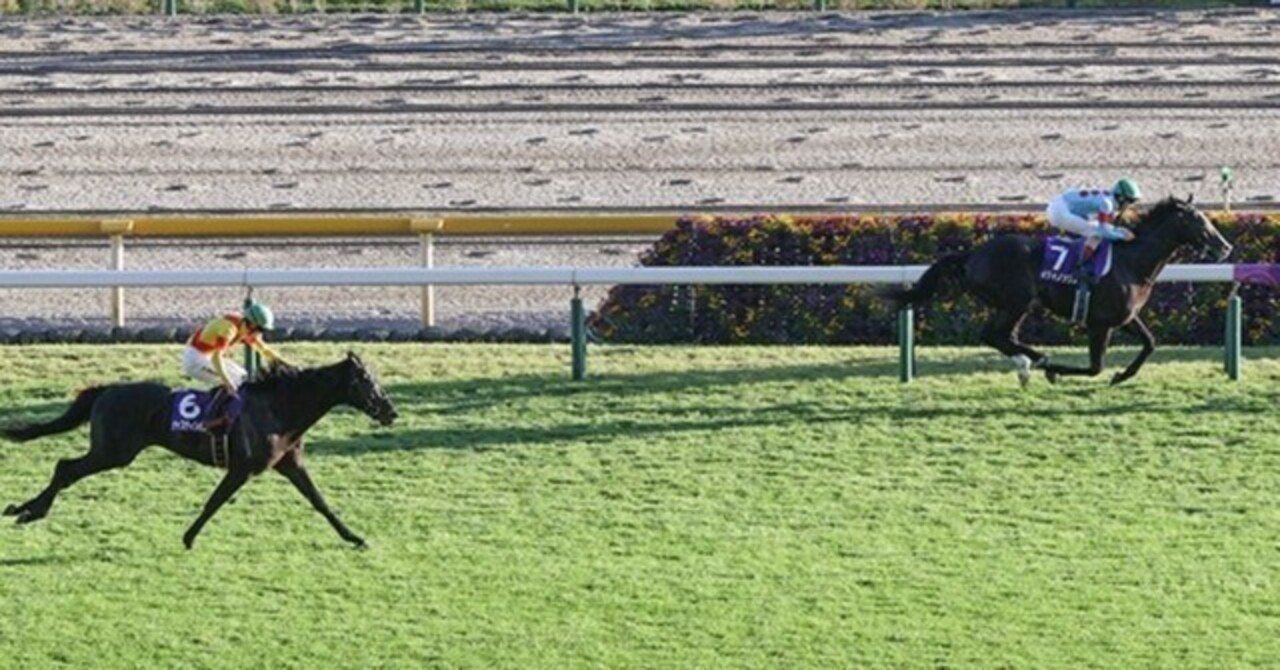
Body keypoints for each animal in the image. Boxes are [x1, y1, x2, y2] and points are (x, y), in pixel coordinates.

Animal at [1, 352, 397, 549]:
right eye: (367, 382)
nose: (391, 411)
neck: (279, 407)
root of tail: (107, 389)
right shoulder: (241, 469)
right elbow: (214, 502)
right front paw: (188, 538)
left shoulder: (290, 463)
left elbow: (321, 502)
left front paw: (355, 537)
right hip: (114, 451)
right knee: (66, 467)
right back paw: (30, 511)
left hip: (112, 451)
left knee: (65, 468)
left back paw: (23, 508)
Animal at [881, 196, 1233, 385]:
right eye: (1199, 220)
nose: (1225, 247)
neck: (1131, 262)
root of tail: (972, 254)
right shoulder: (1098, 323)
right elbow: (1095, 368)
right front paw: (1057, 372)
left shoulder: (1125, 318)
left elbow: (1150, 344)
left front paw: (1122, 375)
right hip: (1017, 301)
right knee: (994, 335)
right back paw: (1037, 360)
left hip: (1011, 305)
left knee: (1001, 337)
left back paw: (1029, 363)